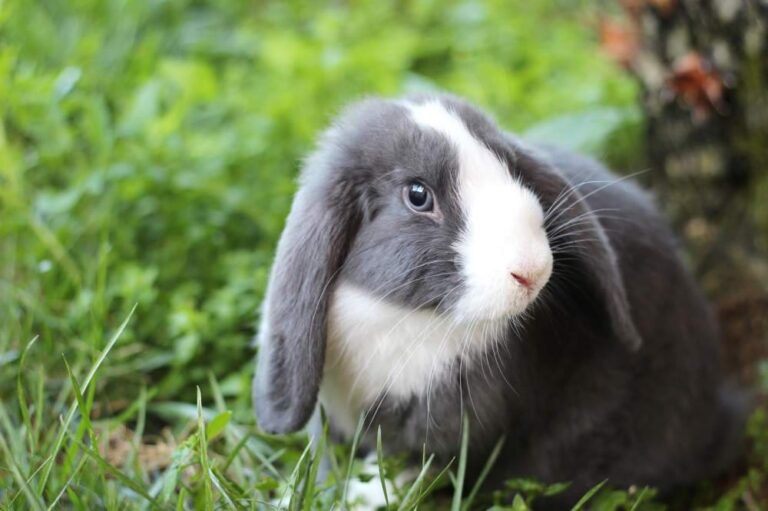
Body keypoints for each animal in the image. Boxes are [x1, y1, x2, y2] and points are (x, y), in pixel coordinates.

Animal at [252, 94, 747, 506]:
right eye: (417, 195)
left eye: (509, 165)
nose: (533, 270)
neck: (402, 313)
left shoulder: (457, 421)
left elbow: (417, 465)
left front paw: (365, 498)